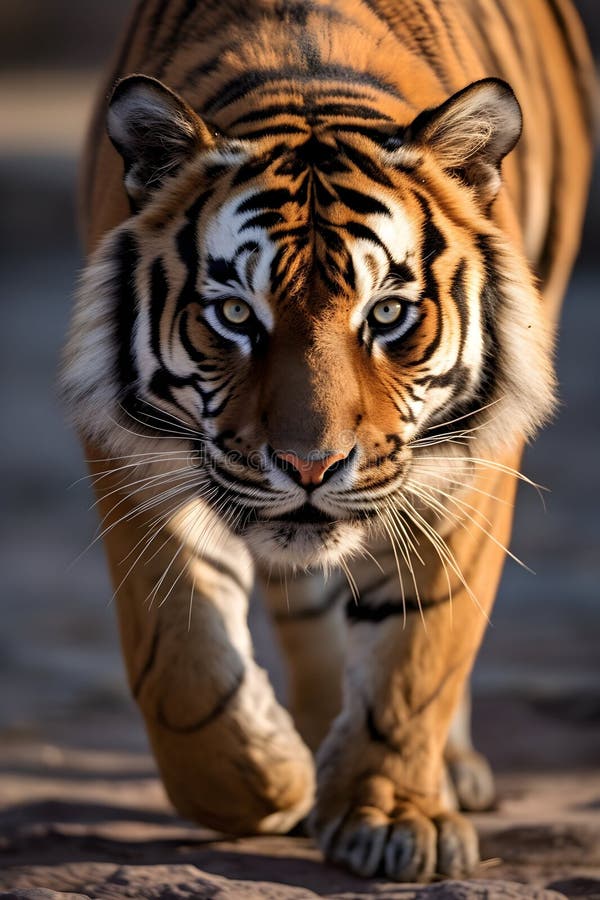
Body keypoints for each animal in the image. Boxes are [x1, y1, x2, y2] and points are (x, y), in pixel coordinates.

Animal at [60, 0, 595, 882]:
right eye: (235, 314)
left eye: (387, 314)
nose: (310, 465)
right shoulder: (130, 452)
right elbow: (179, 659)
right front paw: (269, 781)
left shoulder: (469, 456)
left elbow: (418, 654)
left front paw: (392, 818)